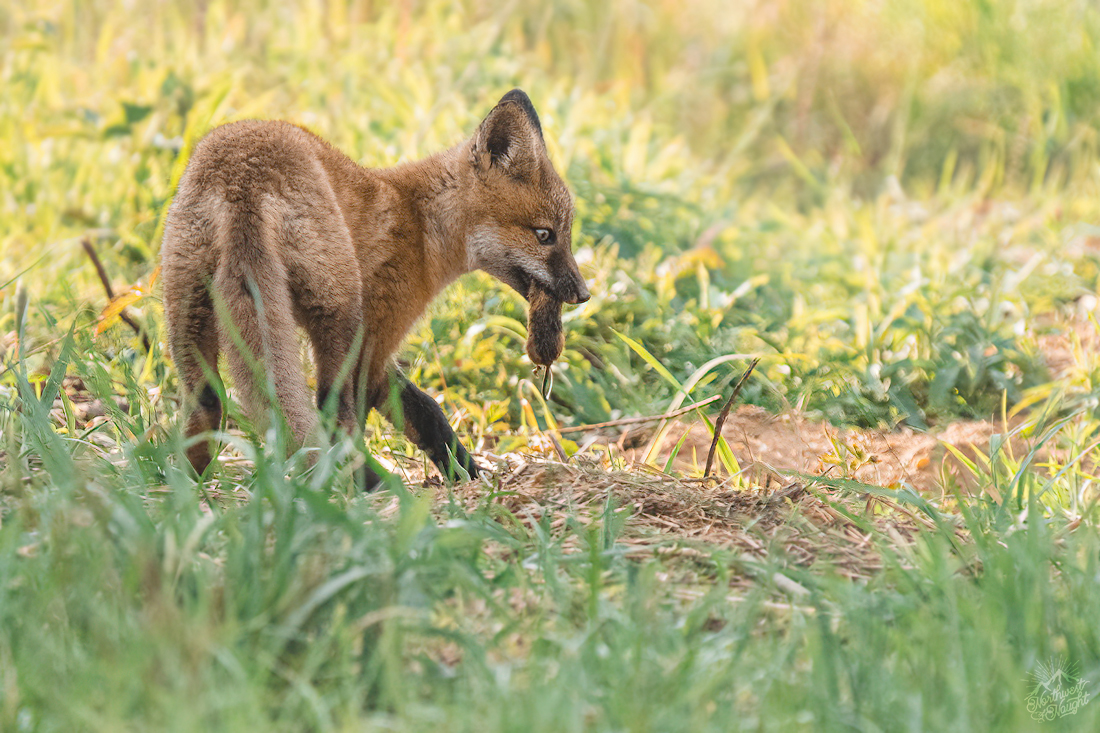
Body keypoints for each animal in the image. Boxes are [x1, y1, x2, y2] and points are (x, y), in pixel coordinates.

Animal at [160, 89, 590, 488]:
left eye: (565, 234)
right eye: (544, 235)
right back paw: (369, 488)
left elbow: (428, 414)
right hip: (340, 314)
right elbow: (401, 413)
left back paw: (189, 485)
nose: (583, 293)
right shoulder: (377, 337)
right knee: (332, 412)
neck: (421, 228)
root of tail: (241, 181)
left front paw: (466, 473)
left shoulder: (381, 358)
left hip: (187, 313)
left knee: (207, 401)